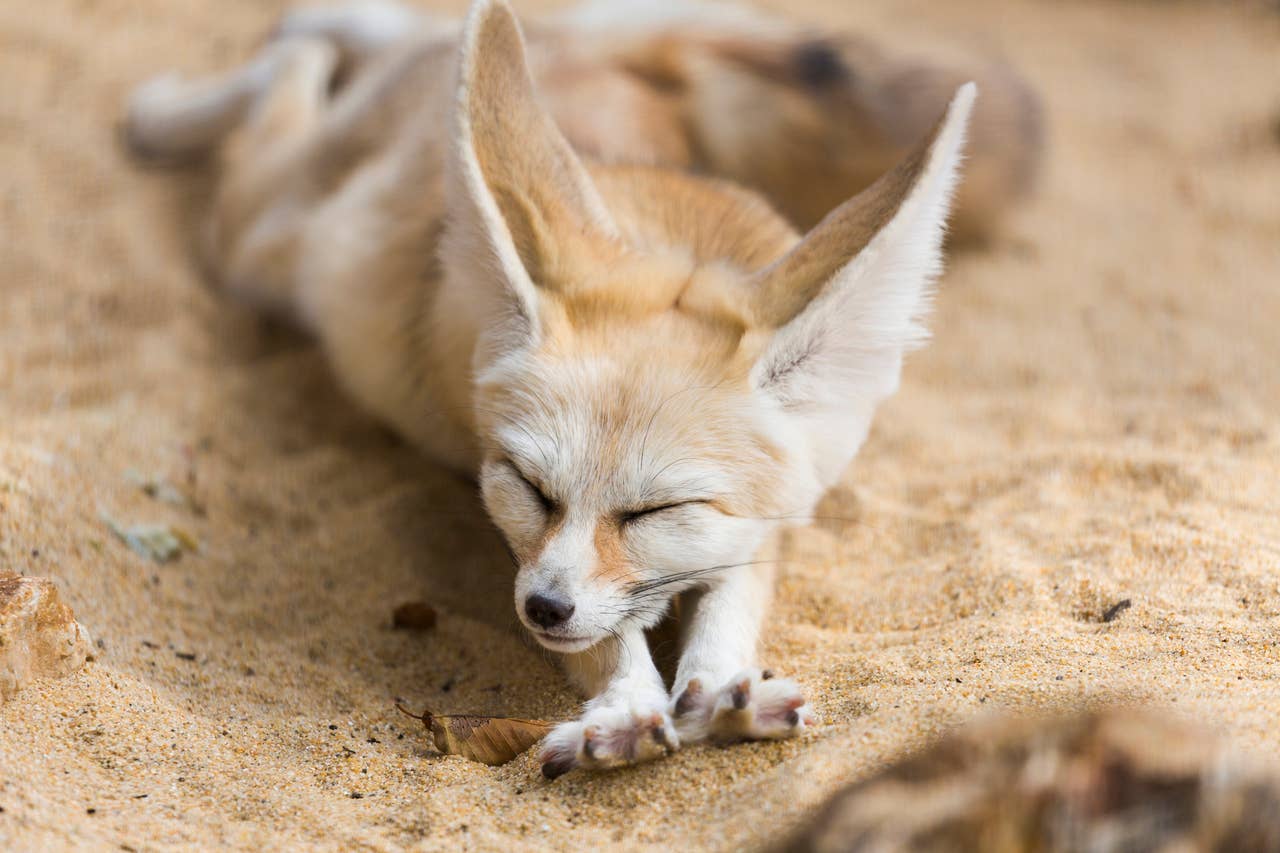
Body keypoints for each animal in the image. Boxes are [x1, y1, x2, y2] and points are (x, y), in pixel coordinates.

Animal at [124, 0, 1019, 778]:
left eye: (656, 511)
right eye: (530, 486)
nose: (543, 610)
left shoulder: (763, 517)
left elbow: (728, 593)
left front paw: (721, 688)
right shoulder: (521, 545)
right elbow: (607, 633)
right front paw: (627, 703)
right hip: (258, 239)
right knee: (301, 73)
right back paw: (182, 105)